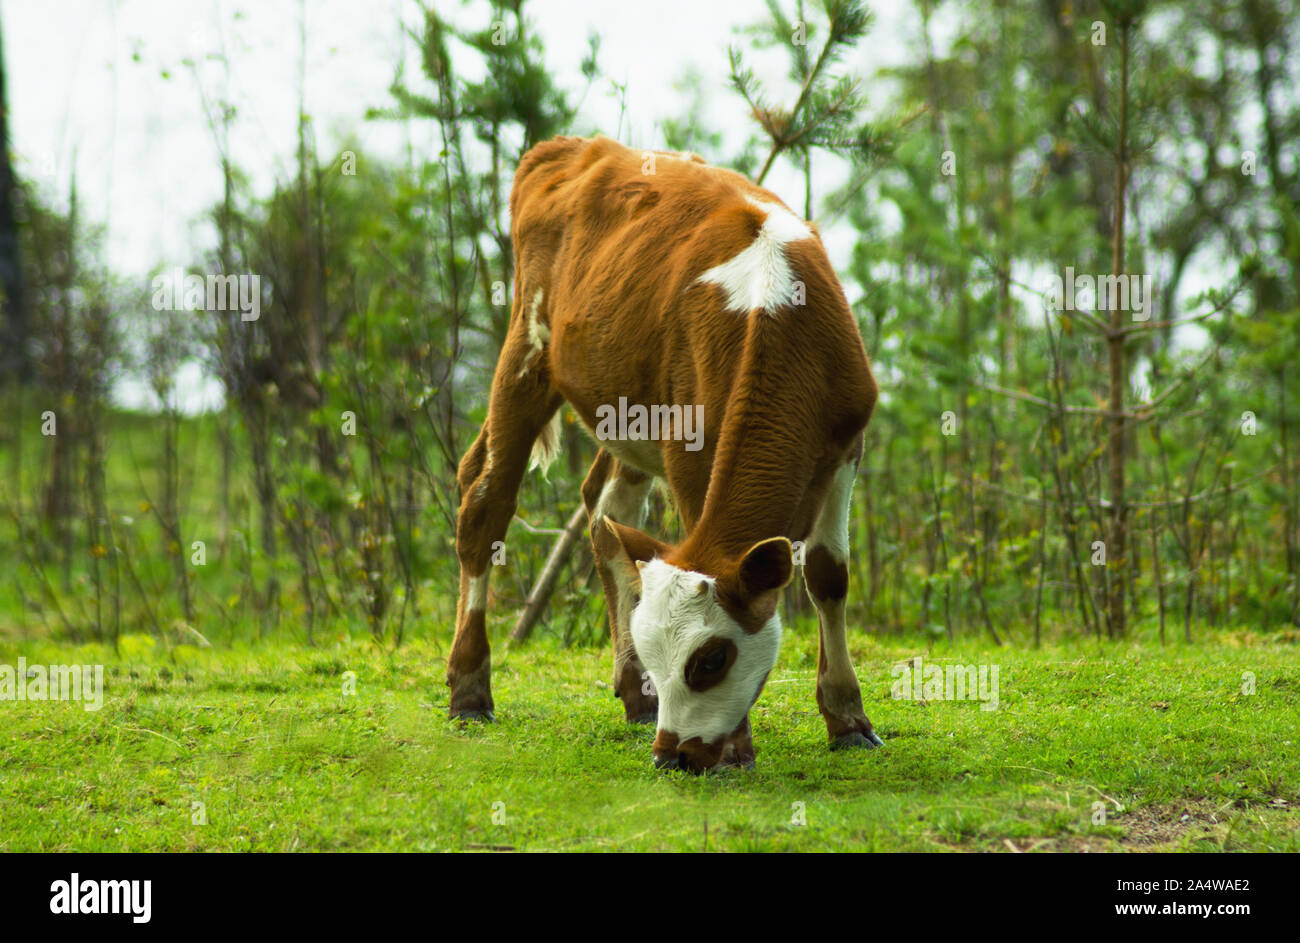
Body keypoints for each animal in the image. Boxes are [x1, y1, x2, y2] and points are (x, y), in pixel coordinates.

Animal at [447, 135, 882, 772]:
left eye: (709, 660)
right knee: (485, 500)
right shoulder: (688, 450)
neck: (774, 310)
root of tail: (573, 147)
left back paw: (634, 697)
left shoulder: (848, 441)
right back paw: (469, 690)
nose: (672, 755)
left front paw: (848, 718)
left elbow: (828, 574)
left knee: (607, 511)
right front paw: (740, 747)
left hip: (625, 412)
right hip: (527, 347)